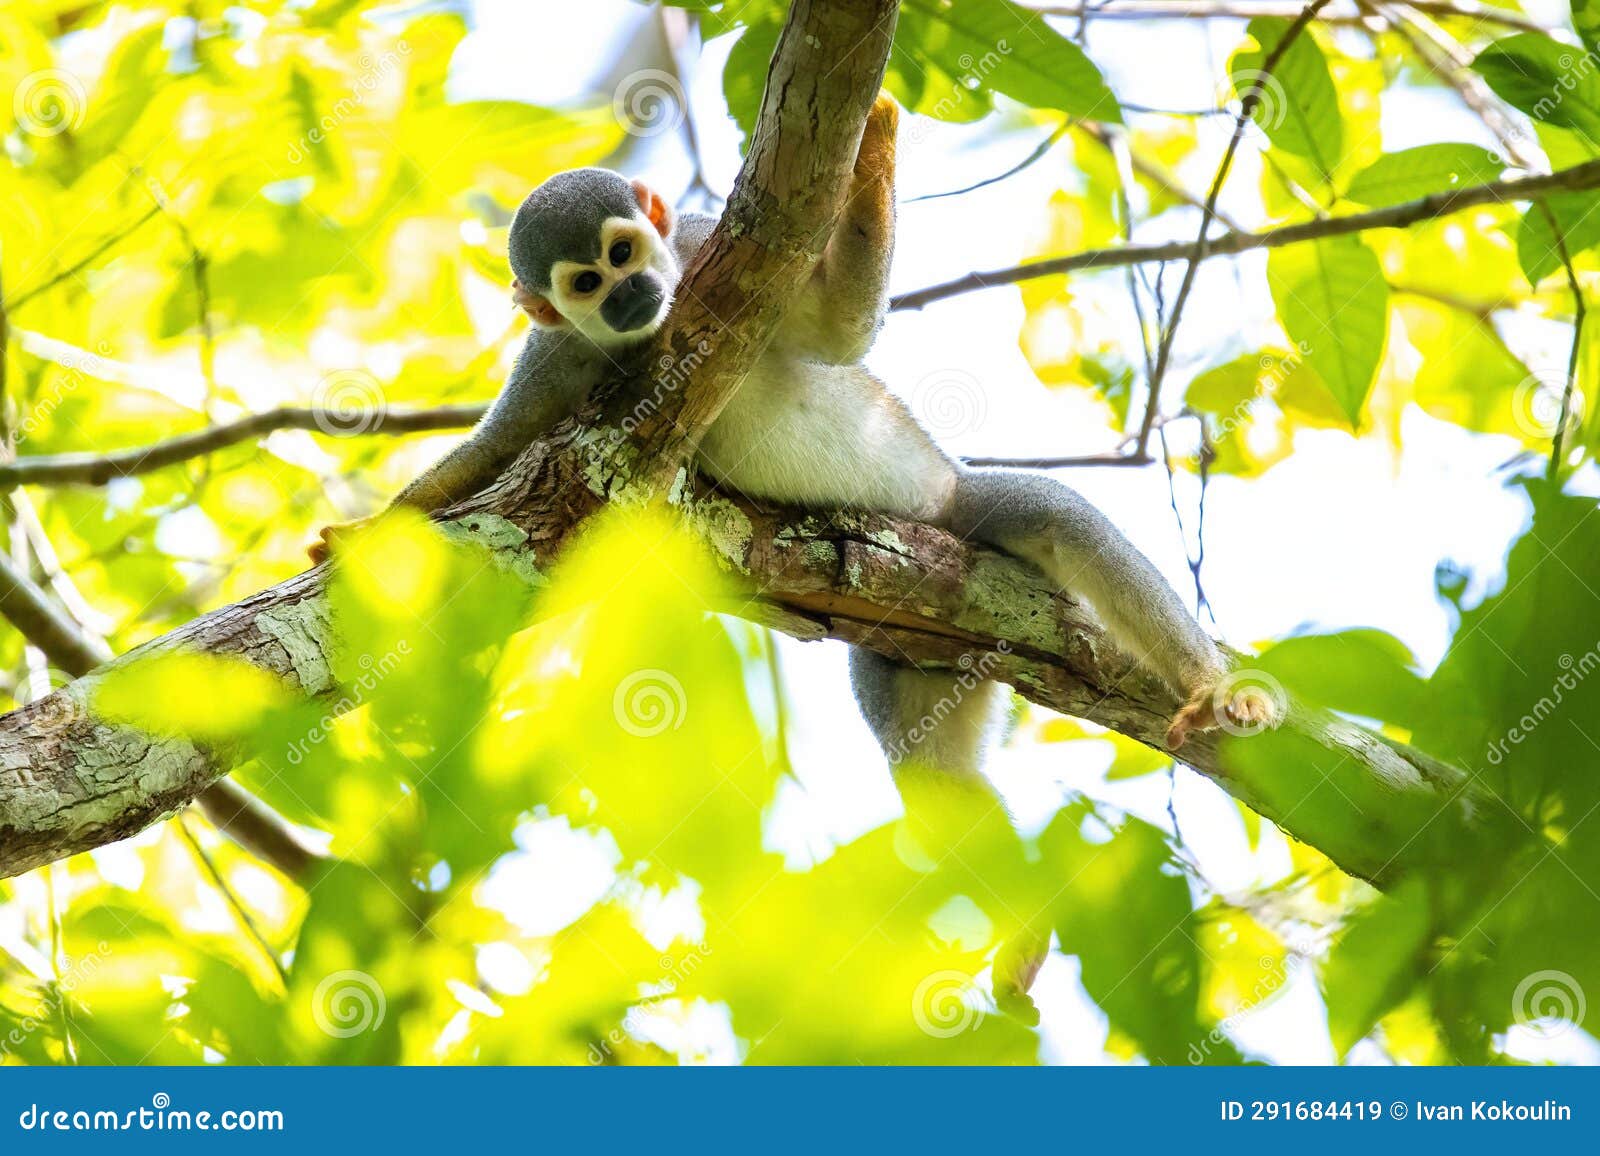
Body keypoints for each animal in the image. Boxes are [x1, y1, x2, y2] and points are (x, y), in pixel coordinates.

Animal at [311, 96, 1275, 1011]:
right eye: (586, 281)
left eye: (625, 252)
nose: (627, 295)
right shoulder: (556, 357)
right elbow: (497, 453)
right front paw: (369, 534)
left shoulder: (702, 246)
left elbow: (839, 332)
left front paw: (875, 143)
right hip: (916, 648)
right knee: (928, 767)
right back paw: (1021, 922)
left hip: (957, 513)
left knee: (1061, 525)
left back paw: (1209, 686)